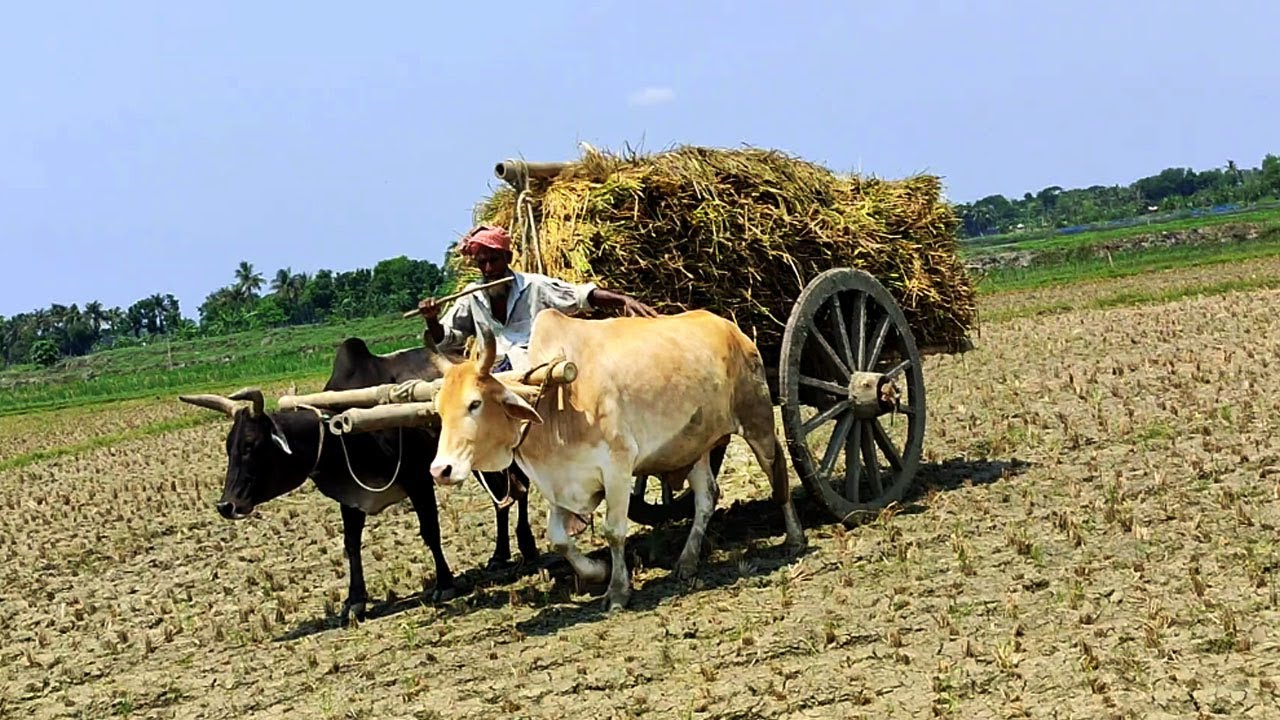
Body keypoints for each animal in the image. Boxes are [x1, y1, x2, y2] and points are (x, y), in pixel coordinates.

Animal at [178, 336, 540, 622]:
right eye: (229, 446)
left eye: (252, 445)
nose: (227, 505)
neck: (342, 432)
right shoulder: (349, 498)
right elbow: (351, 545)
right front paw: (354, 601)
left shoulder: (418, 480)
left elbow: (430, 533)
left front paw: (444, 583)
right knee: (506, 497)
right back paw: (500, 555)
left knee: (518, 491)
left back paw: (527, 548)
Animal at [422, 309, 807, 612]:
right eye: (438, 409)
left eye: (475, 403)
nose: (441, 470)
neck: (558, 398)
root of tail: (731, 328)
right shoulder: (559, 484)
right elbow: (558, 538)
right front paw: (598, 572)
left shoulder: (618, 468)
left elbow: (613, 531)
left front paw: (618, 591)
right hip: (695, 446)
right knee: (706, 498)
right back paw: (686, 562)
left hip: (757, 420)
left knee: (777, 472)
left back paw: (795, 536)